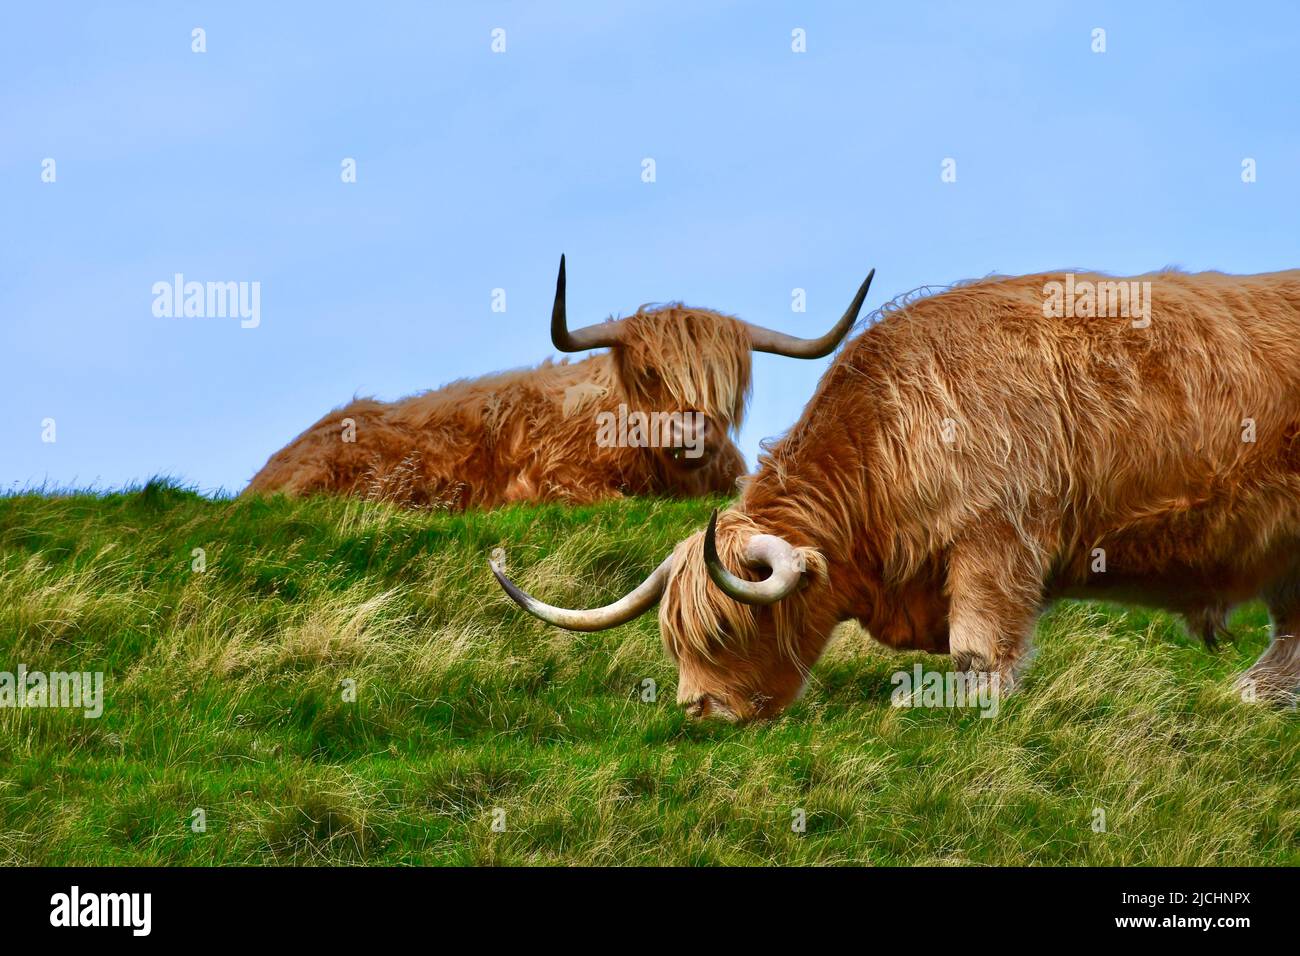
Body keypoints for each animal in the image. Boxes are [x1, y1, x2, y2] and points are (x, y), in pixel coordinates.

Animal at [491, 268, 1300, 719]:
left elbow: (981, 642)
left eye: (725, 631)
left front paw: (953, 701)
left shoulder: (996, 540)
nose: (700, 710)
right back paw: (1261, 692)